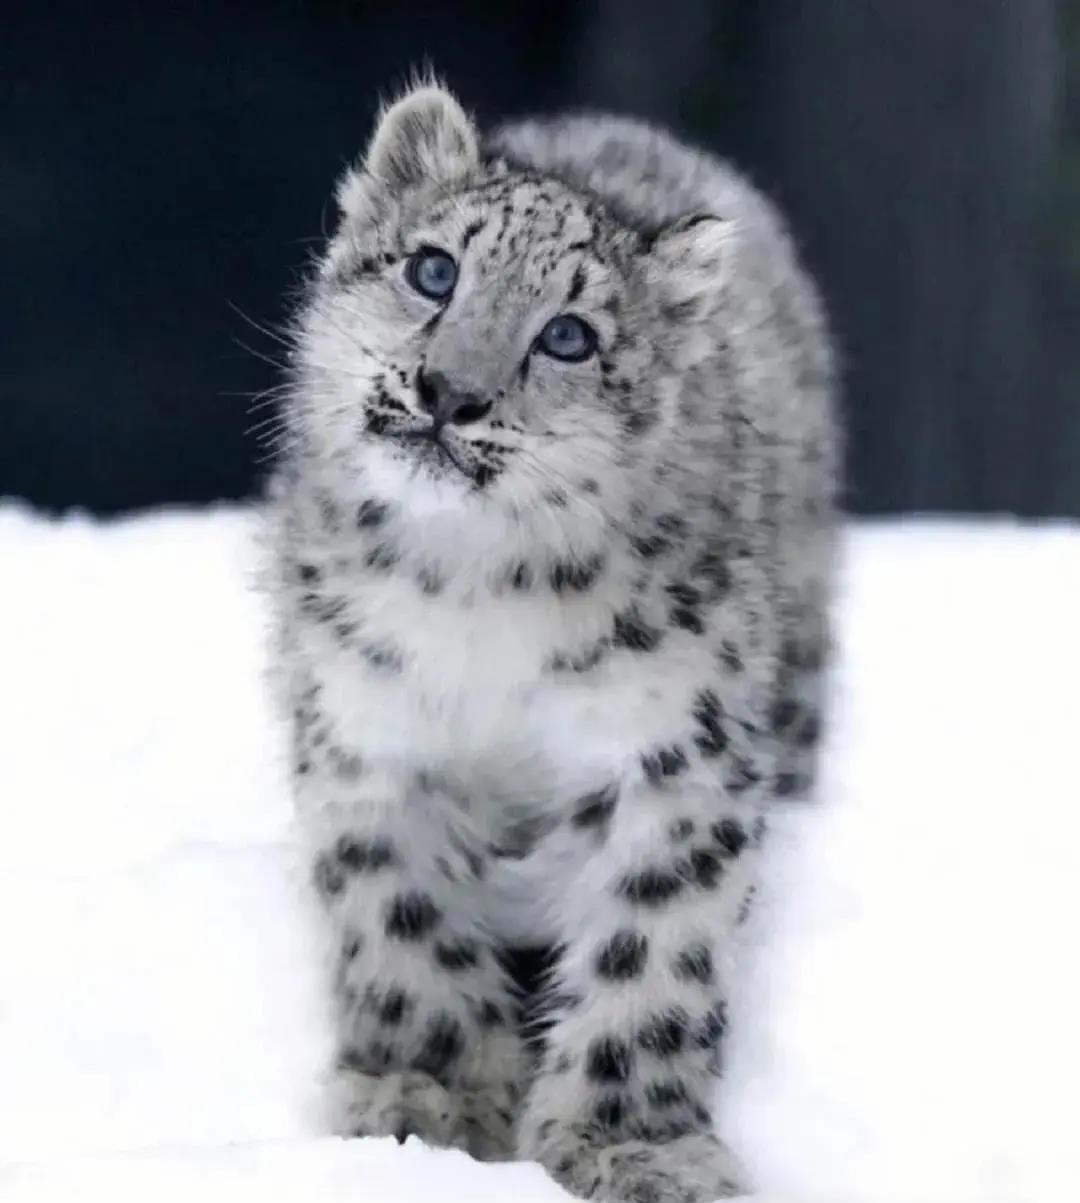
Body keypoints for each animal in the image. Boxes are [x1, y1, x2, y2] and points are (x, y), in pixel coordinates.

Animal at [266, 78, 838, 1202]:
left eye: (569, 336)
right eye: (433, 269)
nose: (448, 392)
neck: (477, 588)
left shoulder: (678, 747)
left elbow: (654, 948)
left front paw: (635, 1146)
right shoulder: (369, 725)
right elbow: (401, 916)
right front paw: (424, 1097)